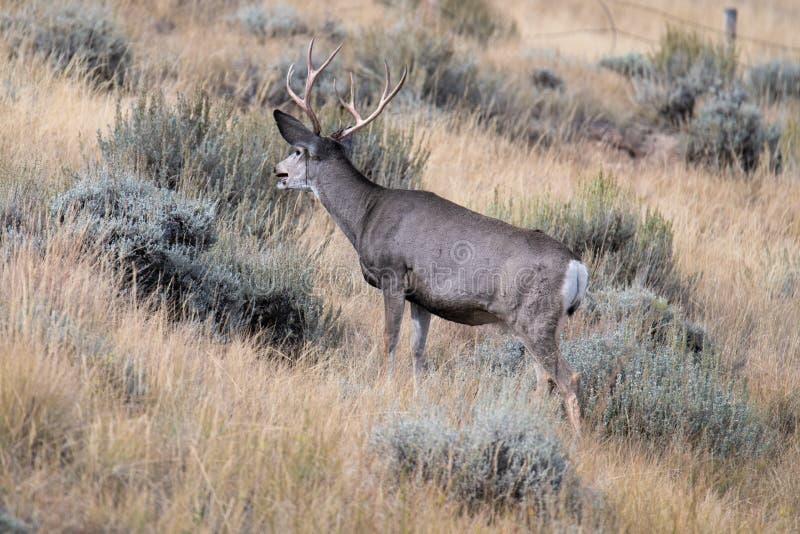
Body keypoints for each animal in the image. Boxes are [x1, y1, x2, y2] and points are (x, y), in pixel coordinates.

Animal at [273, 39, 588, 434]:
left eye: (298, 151)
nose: (278, 172)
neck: (366, 213)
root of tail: (577, 266)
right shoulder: (421, 297)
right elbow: (418, 350)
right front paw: (416, 397)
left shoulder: (393, 275)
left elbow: (389, 339)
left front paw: (385, 389)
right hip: (537, 323)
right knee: (543, 377)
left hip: (534, 318)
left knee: (567, 377)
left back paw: (575, 441)